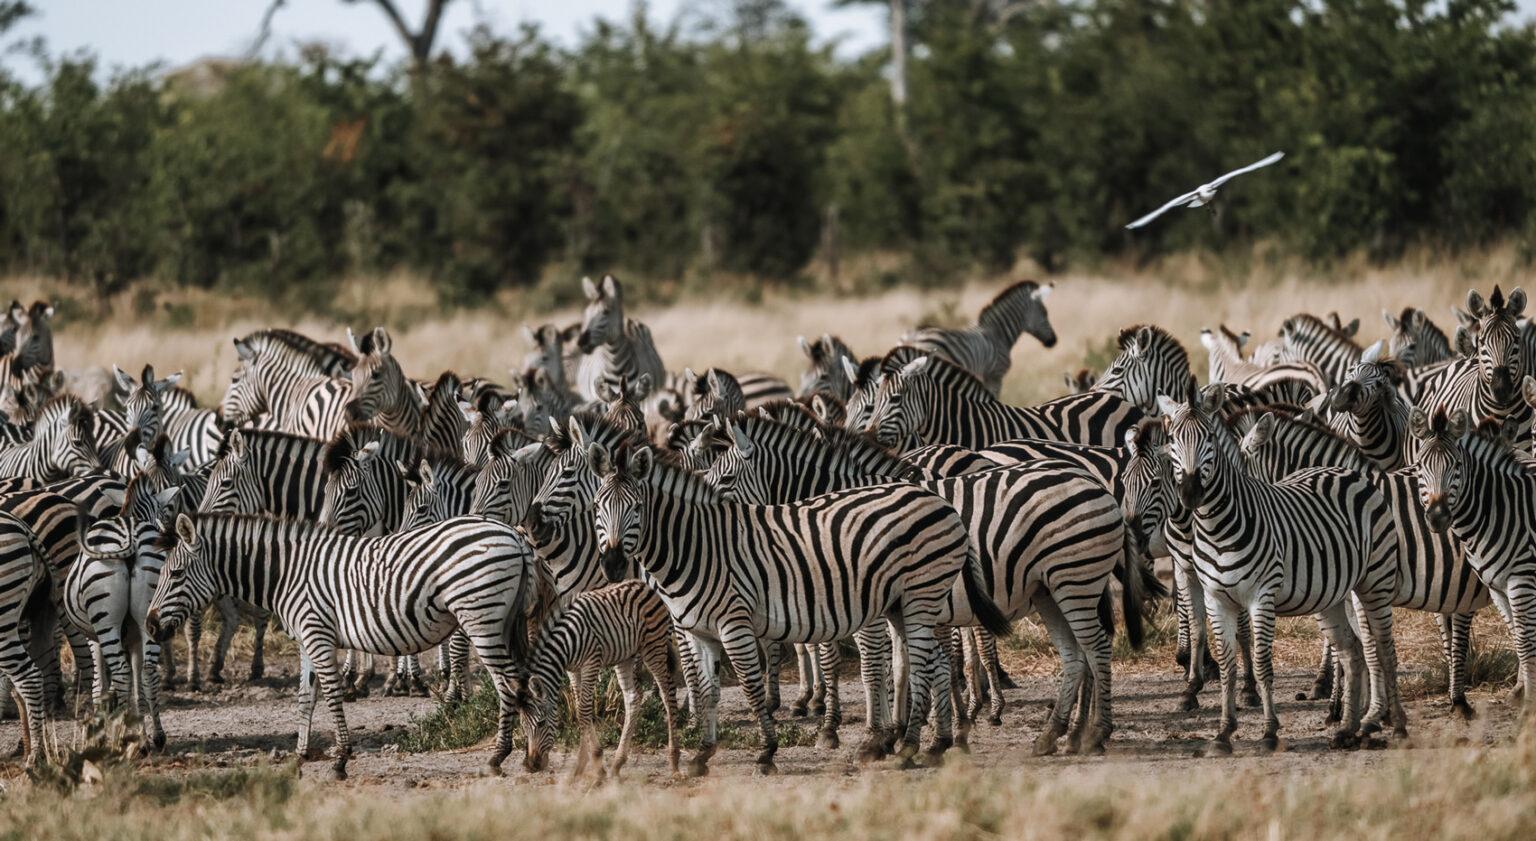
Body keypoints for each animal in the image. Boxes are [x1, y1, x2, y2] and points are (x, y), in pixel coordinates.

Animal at [146, 512, 545, 779]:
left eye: (175, 574)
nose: (149, 625)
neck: (286, 573)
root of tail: (511, 533)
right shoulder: (306, 638)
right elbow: (305, 697)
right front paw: (301, 755)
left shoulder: (317, 633)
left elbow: (332, 694)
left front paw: (339, 759)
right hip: (504, 620)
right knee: (524, 681)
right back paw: (531, 750)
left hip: (482, 617)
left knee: (509, 684)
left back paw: (501, 756)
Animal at [515, 580, 680, 779]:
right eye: (523, 726)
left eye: (541, 723)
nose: (531, 766)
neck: (566, 643)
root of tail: (643, 585)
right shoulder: (573, 671)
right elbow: (579, 710)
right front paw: (586, 765)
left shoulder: (591, 663)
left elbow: (583, 710)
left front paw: (592, 764)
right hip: (625, 656)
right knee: (633, 698)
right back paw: (617, 763)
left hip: (653, 647)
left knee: (667, 693)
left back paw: (674, 761)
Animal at [581, 440, 1010, 774]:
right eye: (597, 507)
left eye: (637, 508)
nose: (613, 564)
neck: (697, 546)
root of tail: (939, 500)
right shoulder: (700, 631)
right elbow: (707, 691)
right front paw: (702, 754)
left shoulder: (734, 623)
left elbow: (751, 687)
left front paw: (766, 753)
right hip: (902, 604)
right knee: (935, 660)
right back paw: (937, 744)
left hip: (921, 593)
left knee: (922, 663)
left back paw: (908, 746)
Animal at [1159, 384, 1405, 754]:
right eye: (1173, 439)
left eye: (1209, 439)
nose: (1190, 493)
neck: (1217, 527)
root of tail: (1347, 473)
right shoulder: (1218, 598)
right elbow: (1228, 665)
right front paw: (1223, 733)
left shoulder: (1261, 596)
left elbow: (1262, 665)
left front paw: (1269, 731)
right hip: (1333, 593)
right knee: (1352, 651)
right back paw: (1348, 730)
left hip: (1374, 581)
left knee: (1384, 648)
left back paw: (1396, 724)